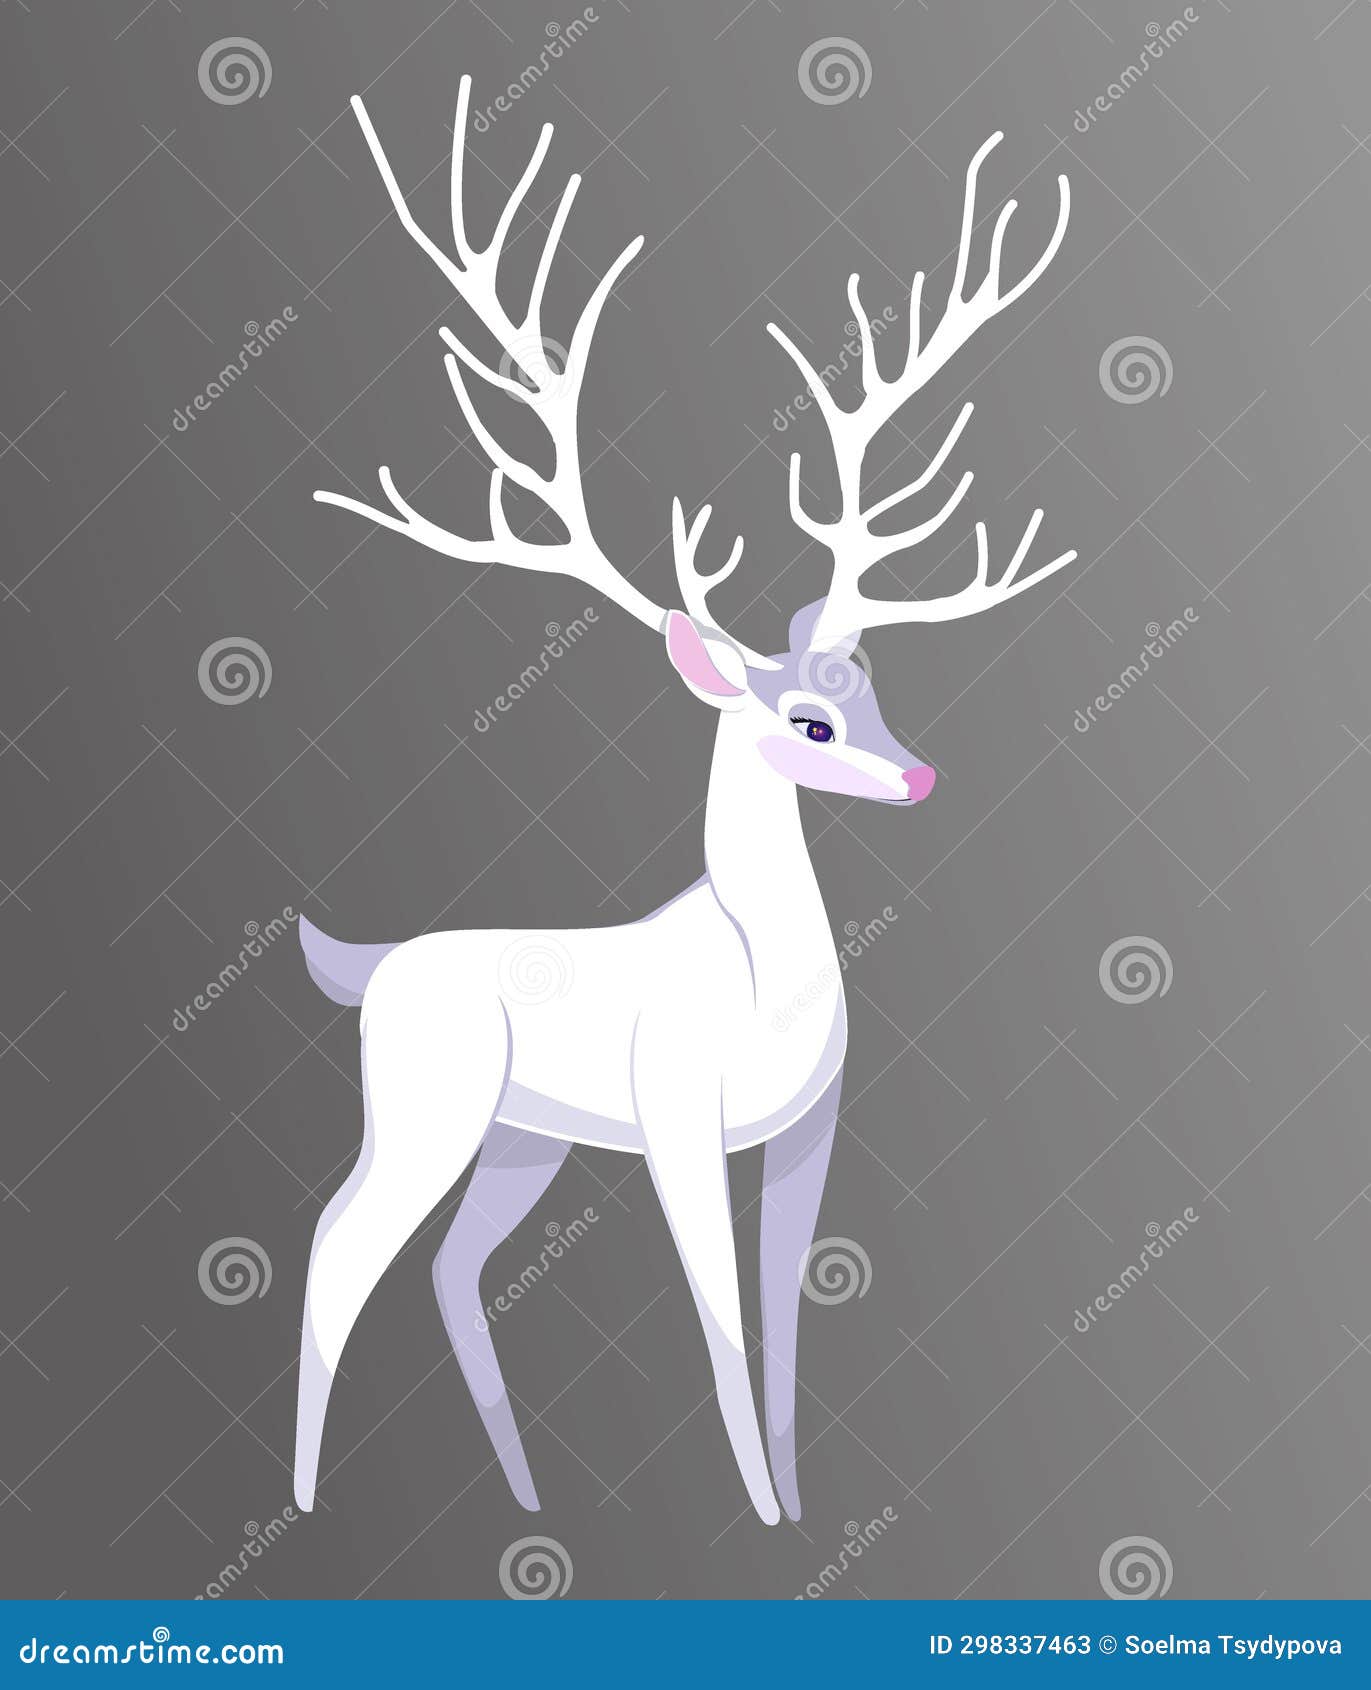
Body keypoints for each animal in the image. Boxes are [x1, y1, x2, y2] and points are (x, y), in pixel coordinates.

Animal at [292, 76, 1074, 1526]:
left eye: (870, 688)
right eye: (808, 720)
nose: (921, 773)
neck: (767, 988)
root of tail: (361, 967)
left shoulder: (812, 1123)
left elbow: (784, 1321)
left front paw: (799, 1507)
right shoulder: (673, 1116)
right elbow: (717, 1325)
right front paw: (764, 1514)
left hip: (523, 1140)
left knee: (446, 1267)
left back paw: (526, 1496)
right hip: (425, 1105)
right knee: (335, 1241)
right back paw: (312, 1498)